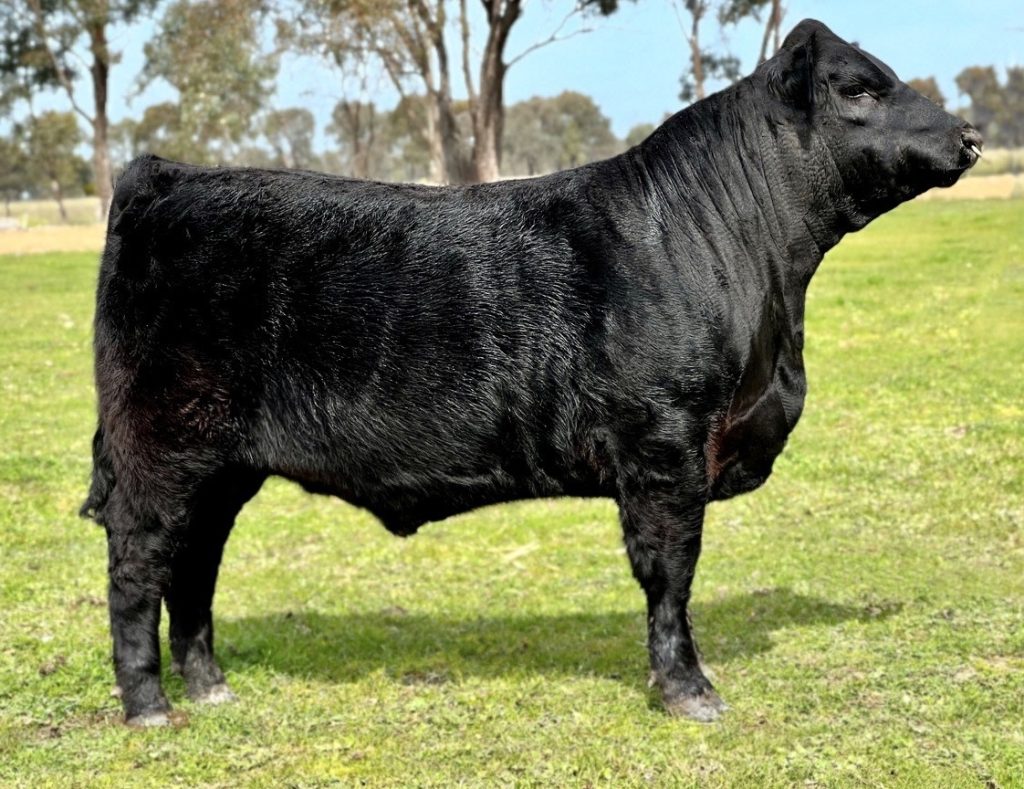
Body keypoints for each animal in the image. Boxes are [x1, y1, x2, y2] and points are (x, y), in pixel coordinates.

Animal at [82, 19, 982, 726]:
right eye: (858, 88)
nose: (970, 136)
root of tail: (167, 175)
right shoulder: (664, 444)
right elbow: (670, 572)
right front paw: (688, 689)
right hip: (160, 446)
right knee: (138, 565)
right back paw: (150, 706)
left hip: (223, 464)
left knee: (195, 563)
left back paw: (210, 686)